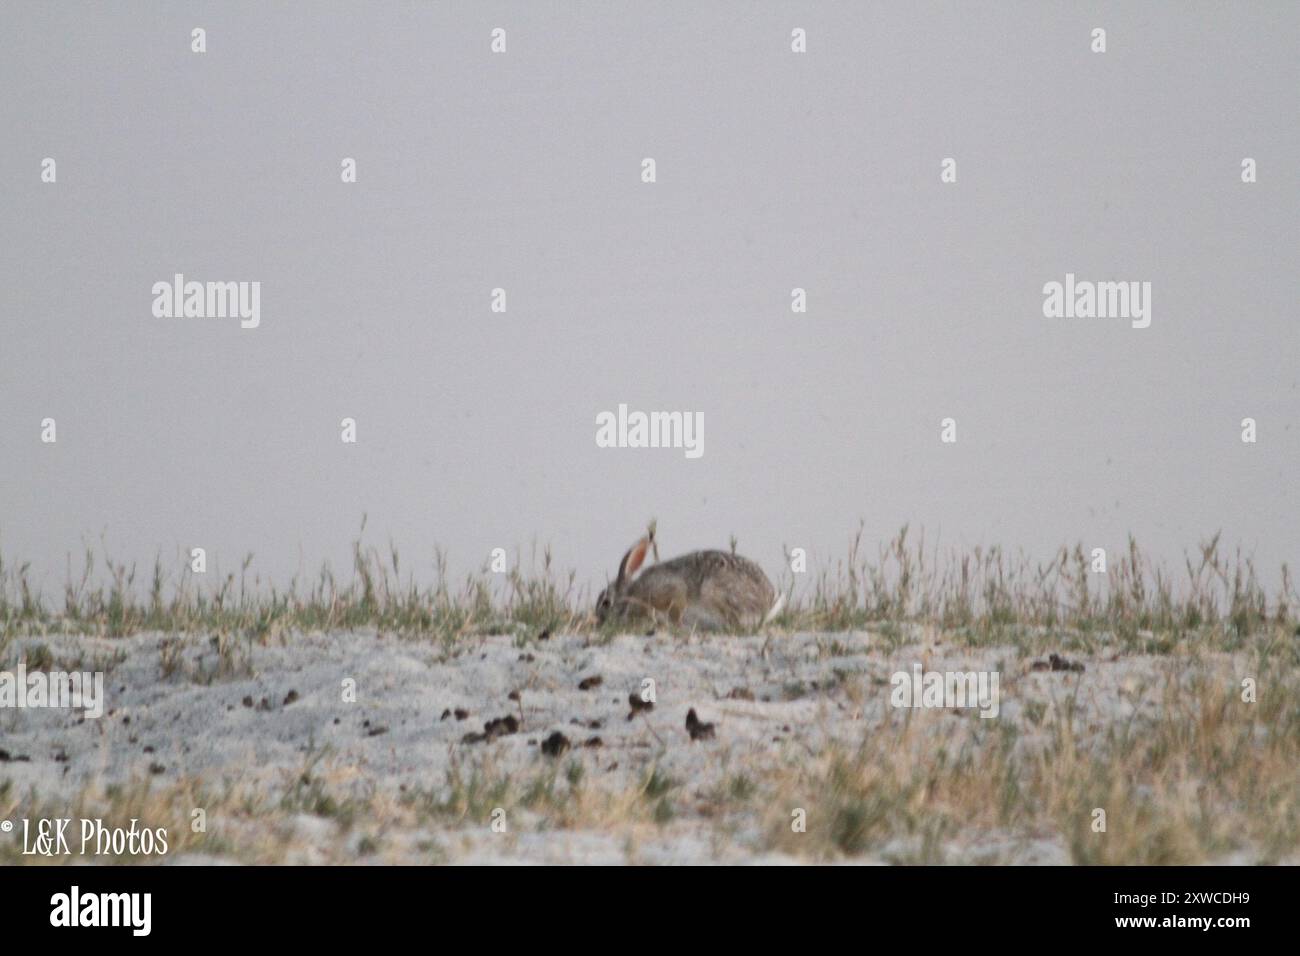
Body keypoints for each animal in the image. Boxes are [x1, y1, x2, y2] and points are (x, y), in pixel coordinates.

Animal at [595, 532, 785, 631]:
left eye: (606, 602)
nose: (599, 621)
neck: (631, 594)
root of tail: (768, 603)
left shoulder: (669, 592)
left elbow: (677, 607)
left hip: (715, 593)